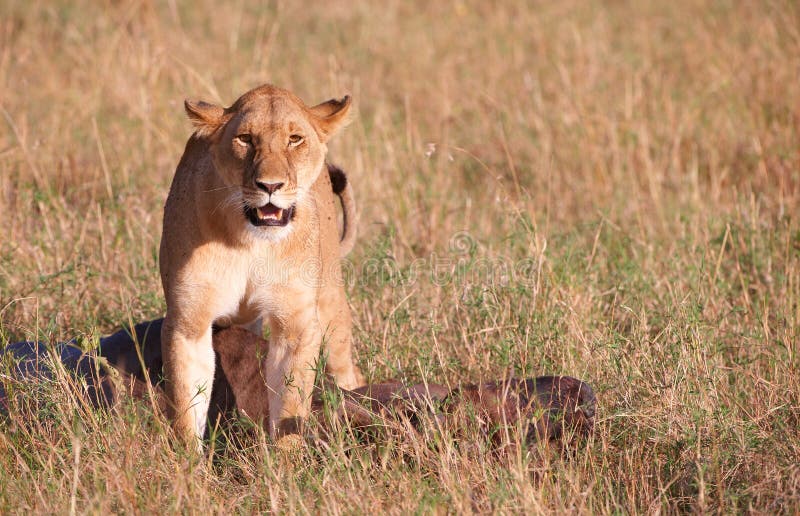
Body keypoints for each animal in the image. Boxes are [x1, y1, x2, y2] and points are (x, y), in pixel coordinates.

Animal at [159, 84, 363, 448]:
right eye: (245, 139)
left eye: (294, 139)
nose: (270, 186)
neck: (250, 242)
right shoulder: (187, 322)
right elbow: (185, 406)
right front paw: (186, 462)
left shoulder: (296, 325)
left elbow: (290, 405)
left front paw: (285, 461)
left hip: (331, 303)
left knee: (347, 370)